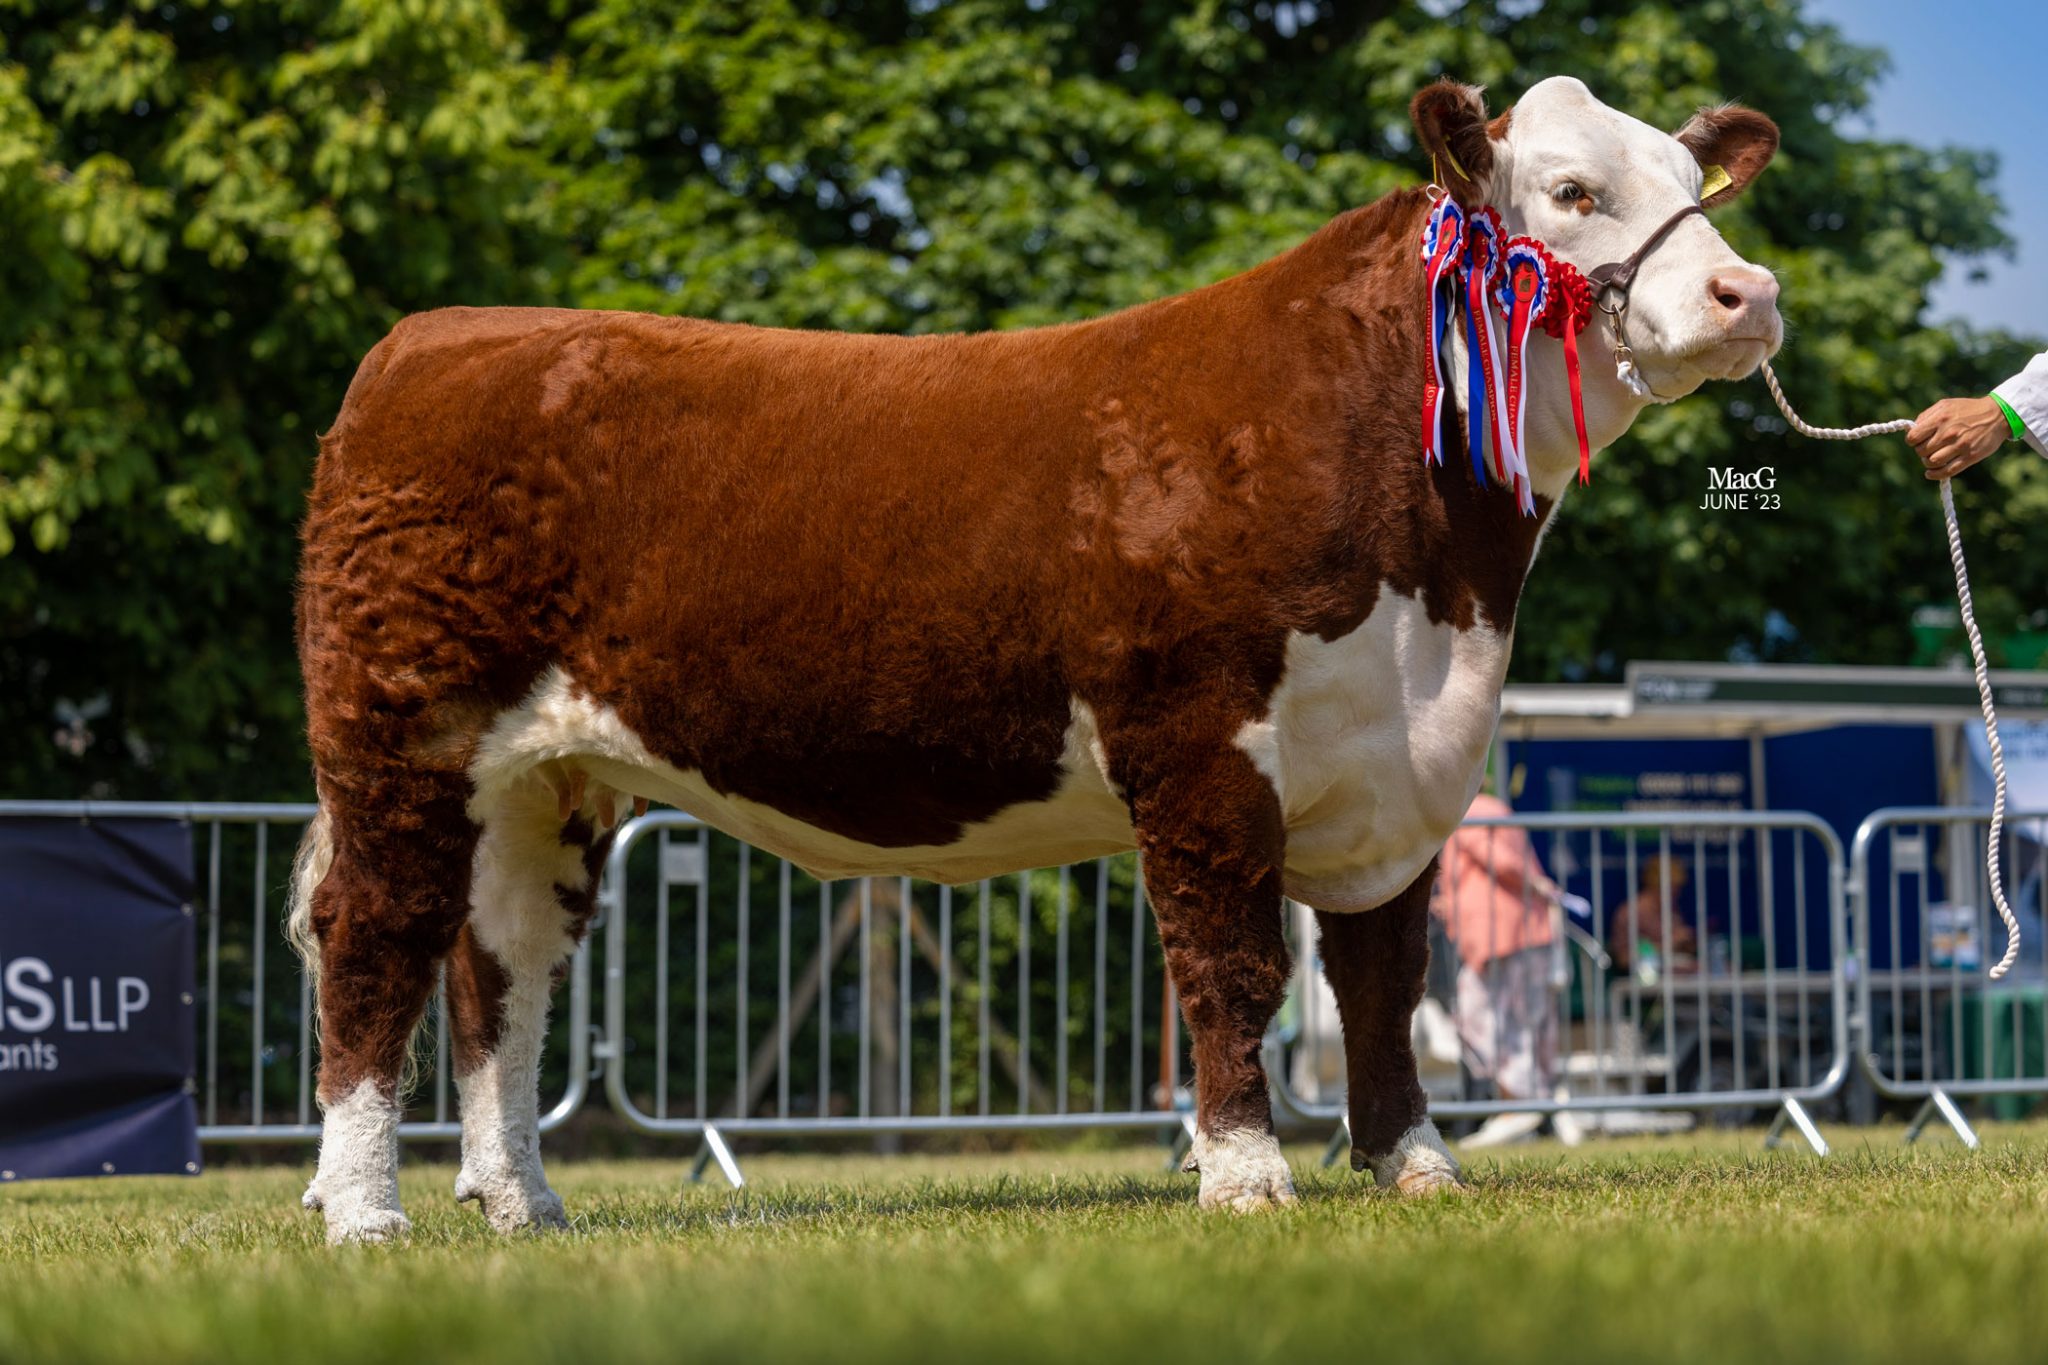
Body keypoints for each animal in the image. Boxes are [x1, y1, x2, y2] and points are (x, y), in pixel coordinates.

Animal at [287, 75, 1781, 1242]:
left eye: (1694, 187)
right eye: (1573, 191)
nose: (1748, 291)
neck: (1441, 588)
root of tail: (432, 339)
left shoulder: (1400, 767)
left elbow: (1382, 979)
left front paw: (1416, 1168)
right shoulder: (1193, 742)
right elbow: (1233, 967)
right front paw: (1246, 1177)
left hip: (541, 781)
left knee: (503, 969)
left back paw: (520, 1202)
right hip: (400, 732)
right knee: (374, 941)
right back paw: (364, 1210)